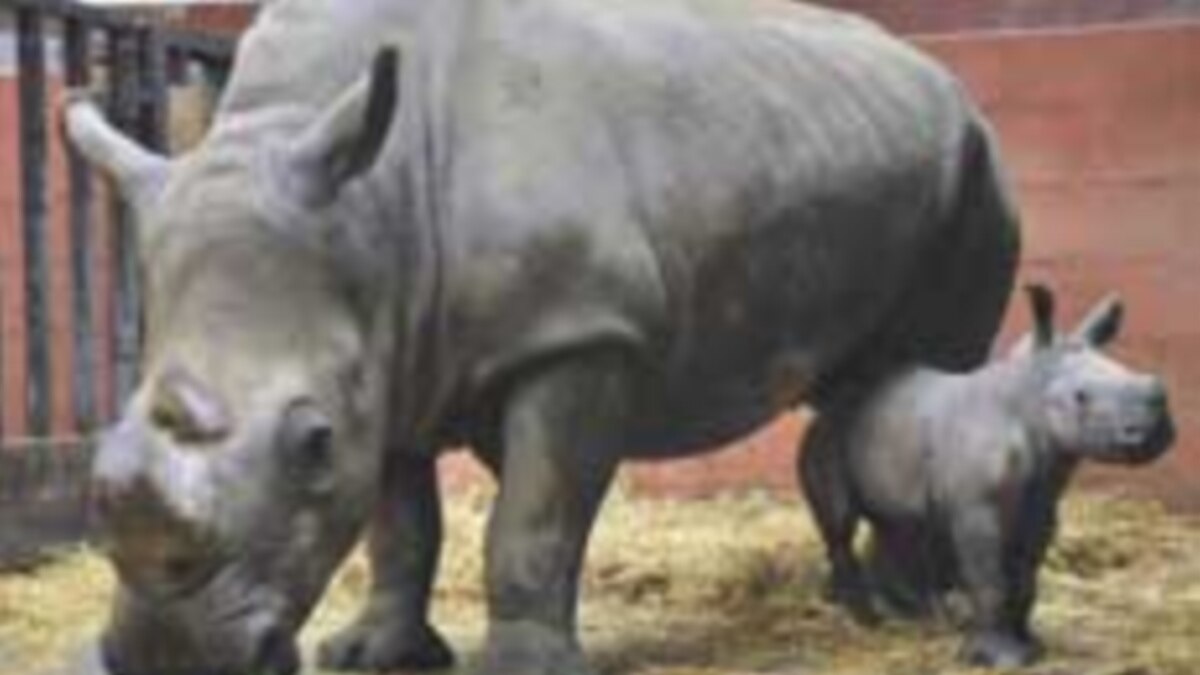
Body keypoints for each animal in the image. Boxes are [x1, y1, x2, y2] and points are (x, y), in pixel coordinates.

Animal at [64, 0, 1020, 673]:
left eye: (313, 442)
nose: (170, 656)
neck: (373, 210)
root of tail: (941, 76)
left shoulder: (579, 332)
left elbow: (532, 517)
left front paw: (523, 664)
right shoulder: (391, 351)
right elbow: (400, 523)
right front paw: (376, 652)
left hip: (981, 168)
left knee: (930, 371)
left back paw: (921, 607)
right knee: (862, 388)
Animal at [799, 285, 1175, 667]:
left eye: (1155, 387)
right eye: (1080, 398)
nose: (1149, 432)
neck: (1027, 399)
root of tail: (824, 409)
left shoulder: (1040, 504)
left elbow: (1026, 580)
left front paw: (1032, 646)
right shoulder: (976, 510)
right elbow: (991, 581)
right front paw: (1001, 658)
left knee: (897, 524)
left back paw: (910, 616)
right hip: (828, 437)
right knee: (841, 524)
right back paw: (867, 620)